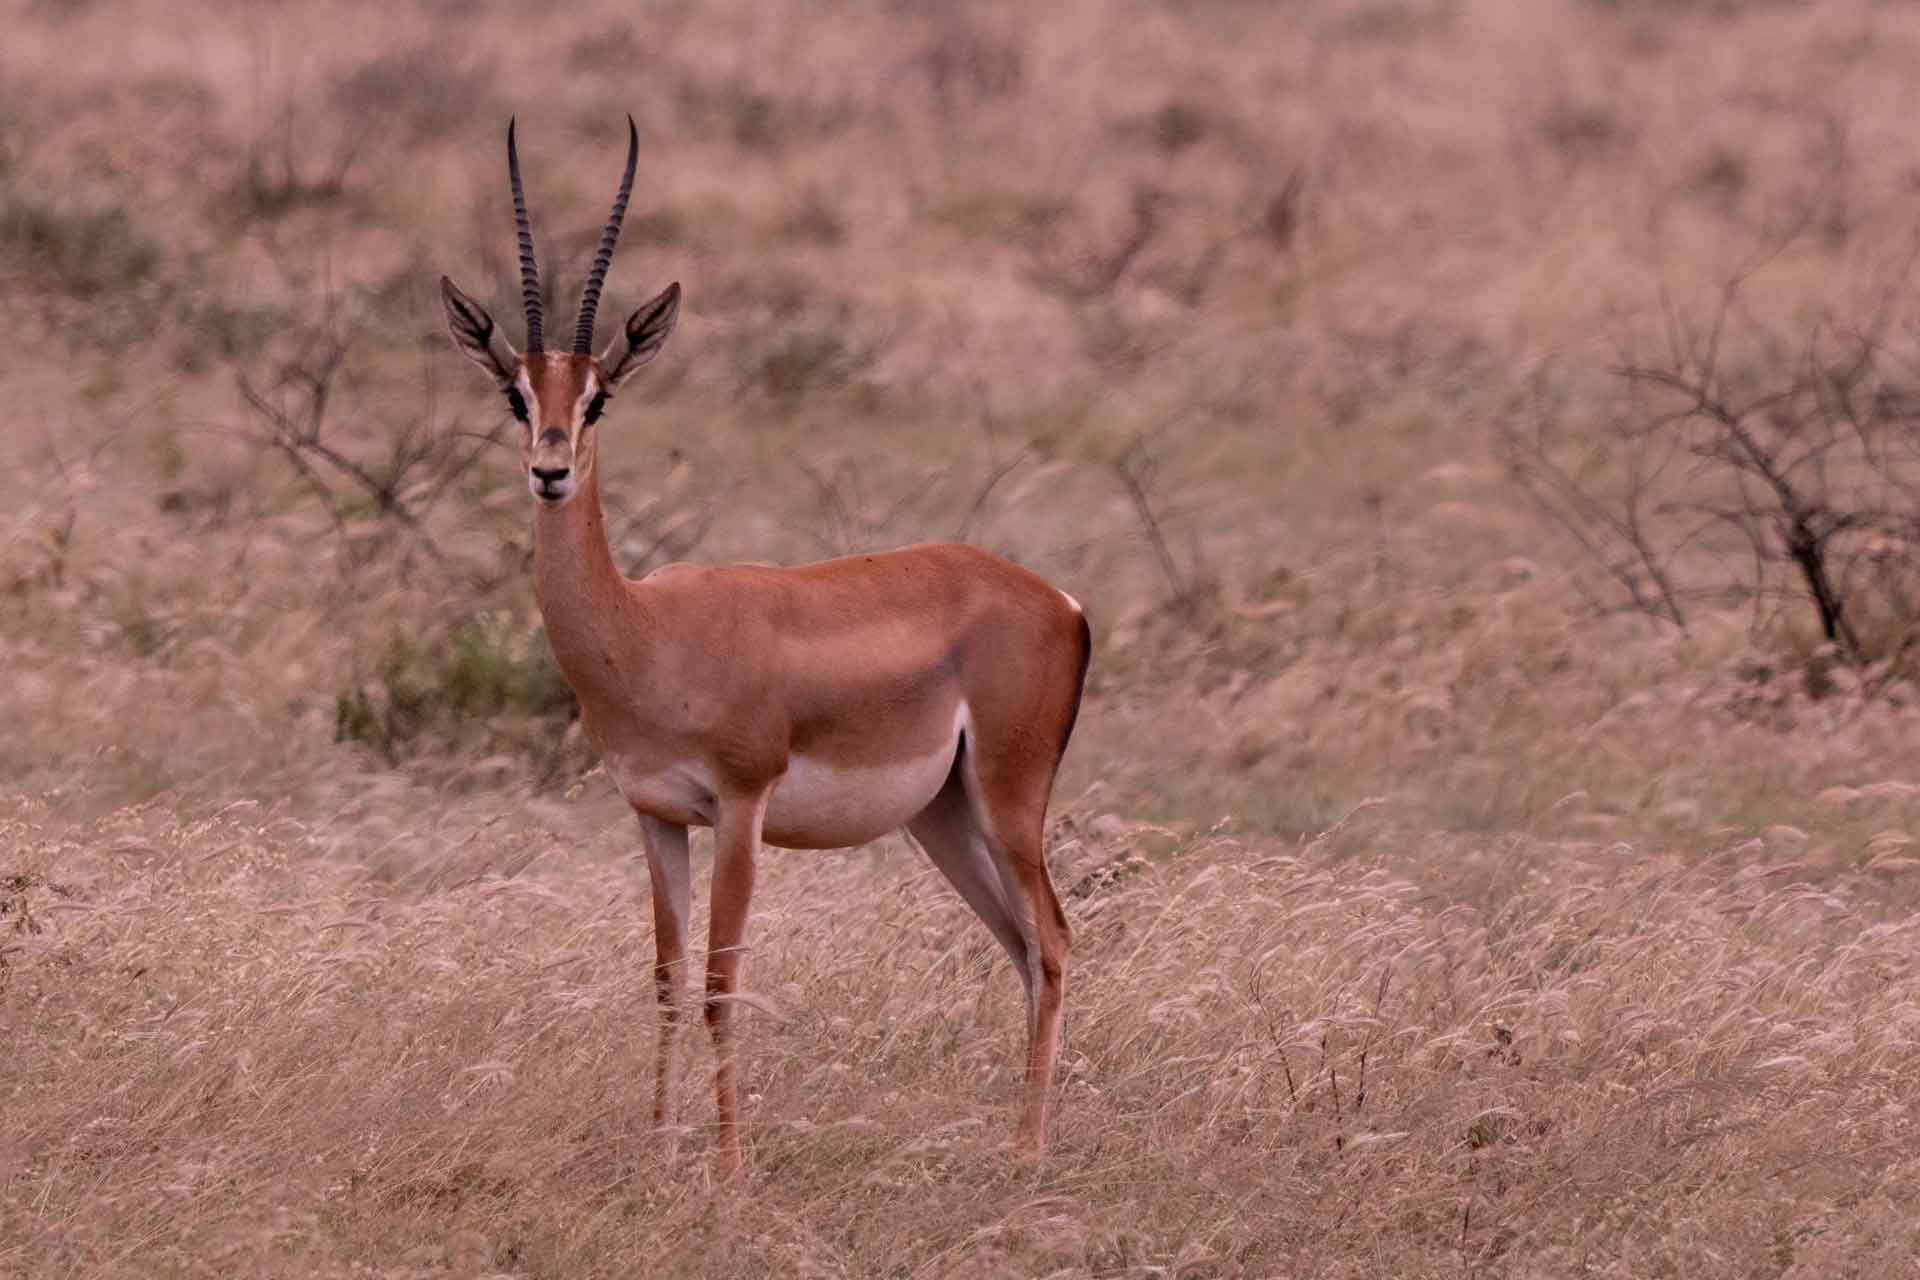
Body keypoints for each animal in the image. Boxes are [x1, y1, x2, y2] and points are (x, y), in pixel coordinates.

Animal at [439, 119, 1092, 1174]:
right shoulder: (657, 816)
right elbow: (667, 983)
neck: (646, 634)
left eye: (599, 399)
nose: (548, 471)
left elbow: (721, 987)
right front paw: (660, 1152)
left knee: (1057, 941)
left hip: (1007, 801)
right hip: (944, 816)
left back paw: (1027, 1156)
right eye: (514, 394)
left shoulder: (740, 810)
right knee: (1023, 948)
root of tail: (1060, 601)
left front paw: (730, 1167)